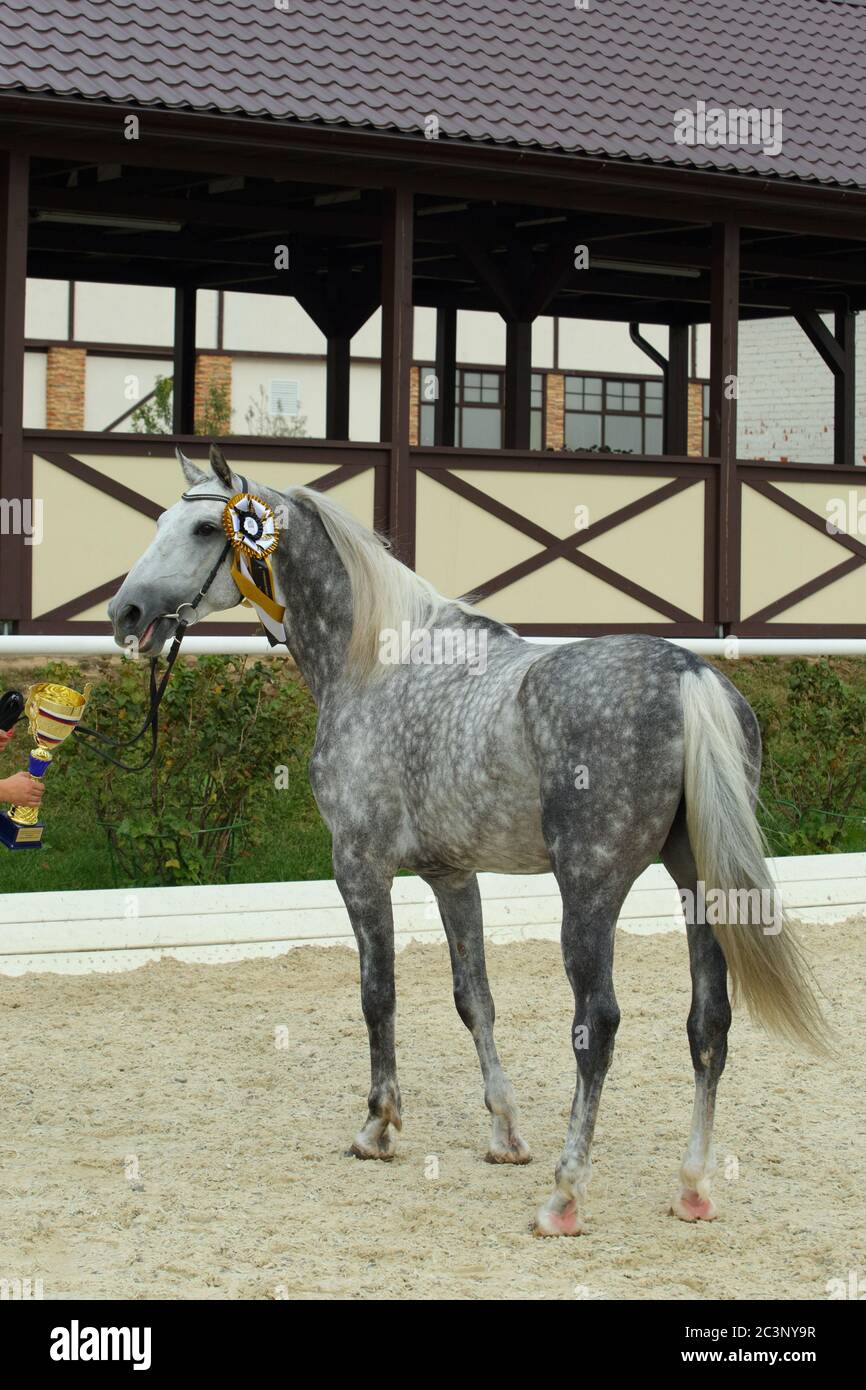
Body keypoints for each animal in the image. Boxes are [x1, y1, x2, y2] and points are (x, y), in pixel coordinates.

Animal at [107, 445, 824, 1236]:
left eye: (207, 528)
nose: (125, 613)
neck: (374, 664)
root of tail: (690, 673)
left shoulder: (358, 866)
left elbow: (378, 994)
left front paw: (378, 1128)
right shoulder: (452, 875)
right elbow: (473, 997)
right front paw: (504, 1133)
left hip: (590, 888)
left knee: (598, 1024)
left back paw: (564, 1195)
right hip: (699, 885)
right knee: (709, 1023)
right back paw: (692, 1187)